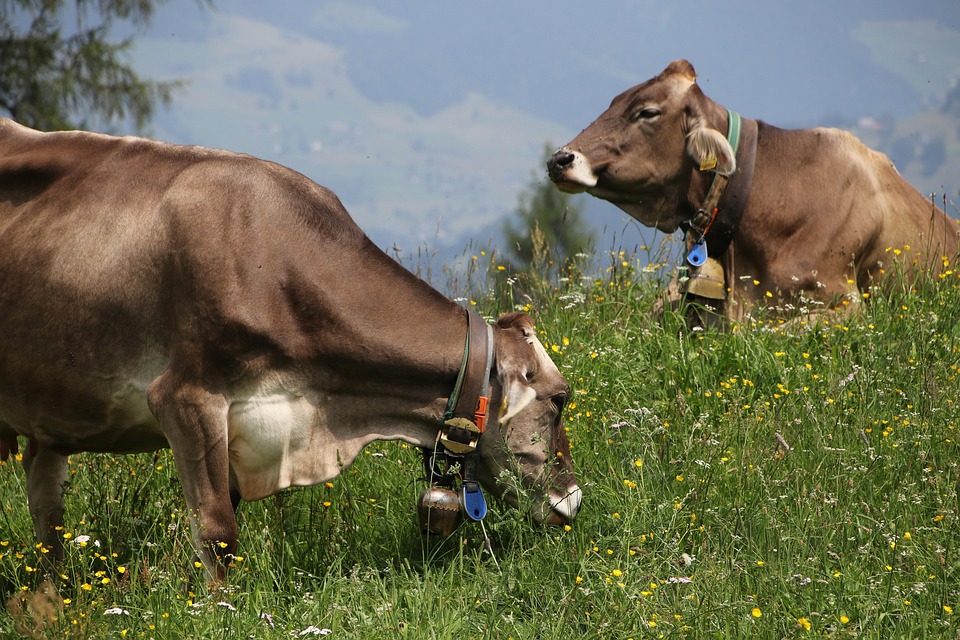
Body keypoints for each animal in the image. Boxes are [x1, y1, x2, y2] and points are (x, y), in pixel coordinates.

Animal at [0, 118, 582, 580]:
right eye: (559, 399)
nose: (573, 499)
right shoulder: (184, 397)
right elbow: (218, 531)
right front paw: (221, 612)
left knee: (46, 514)